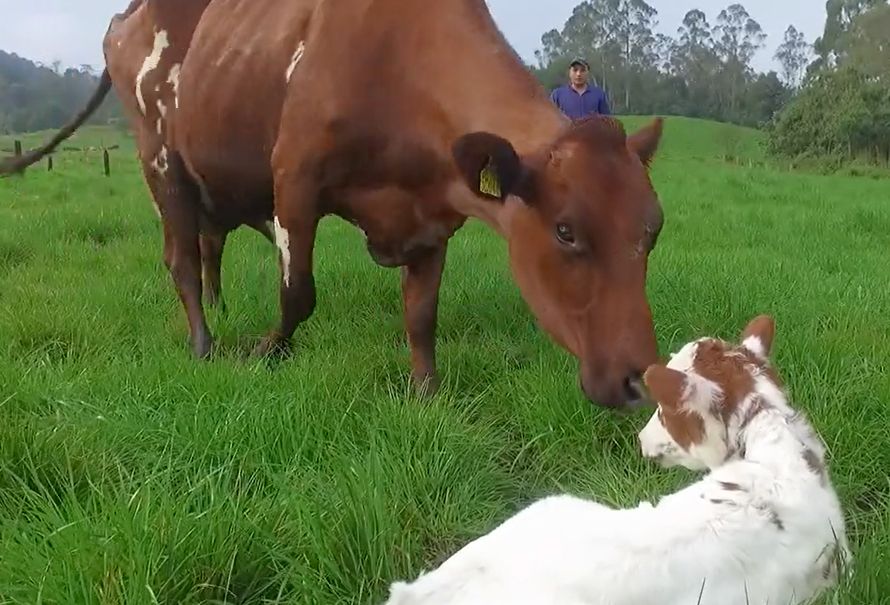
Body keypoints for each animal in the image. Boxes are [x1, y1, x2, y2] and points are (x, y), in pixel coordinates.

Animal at [1, 1, 664, 410]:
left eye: (652, 231)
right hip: (162, 162)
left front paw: (426, 391)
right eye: (566, 232)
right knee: (182, 259)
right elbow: (299, 292)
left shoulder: (435, 215)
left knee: (209, 246)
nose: (642, 380)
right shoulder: (293, 180)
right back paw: (204, 342)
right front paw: (265, 350)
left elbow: (422, 313)